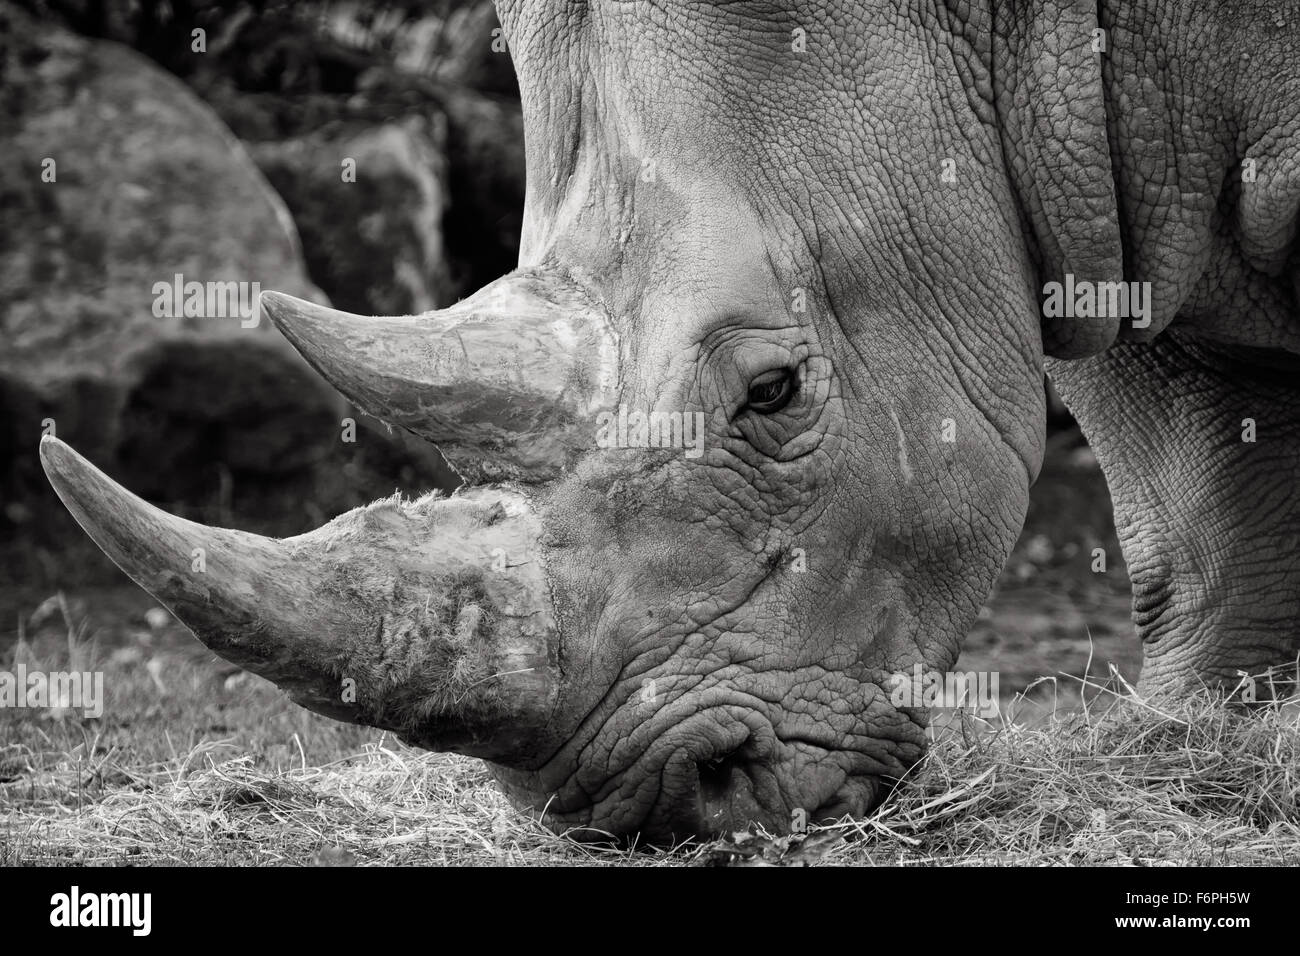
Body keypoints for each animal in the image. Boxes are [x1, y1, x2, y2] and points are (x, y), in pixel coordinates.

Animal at [42, 0, 1300, 841]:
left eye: (774, 392)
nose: (658, 807)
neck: (987, 32)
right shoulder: (1103, 177)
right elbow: (1193, 480)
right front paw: (1210, 734)